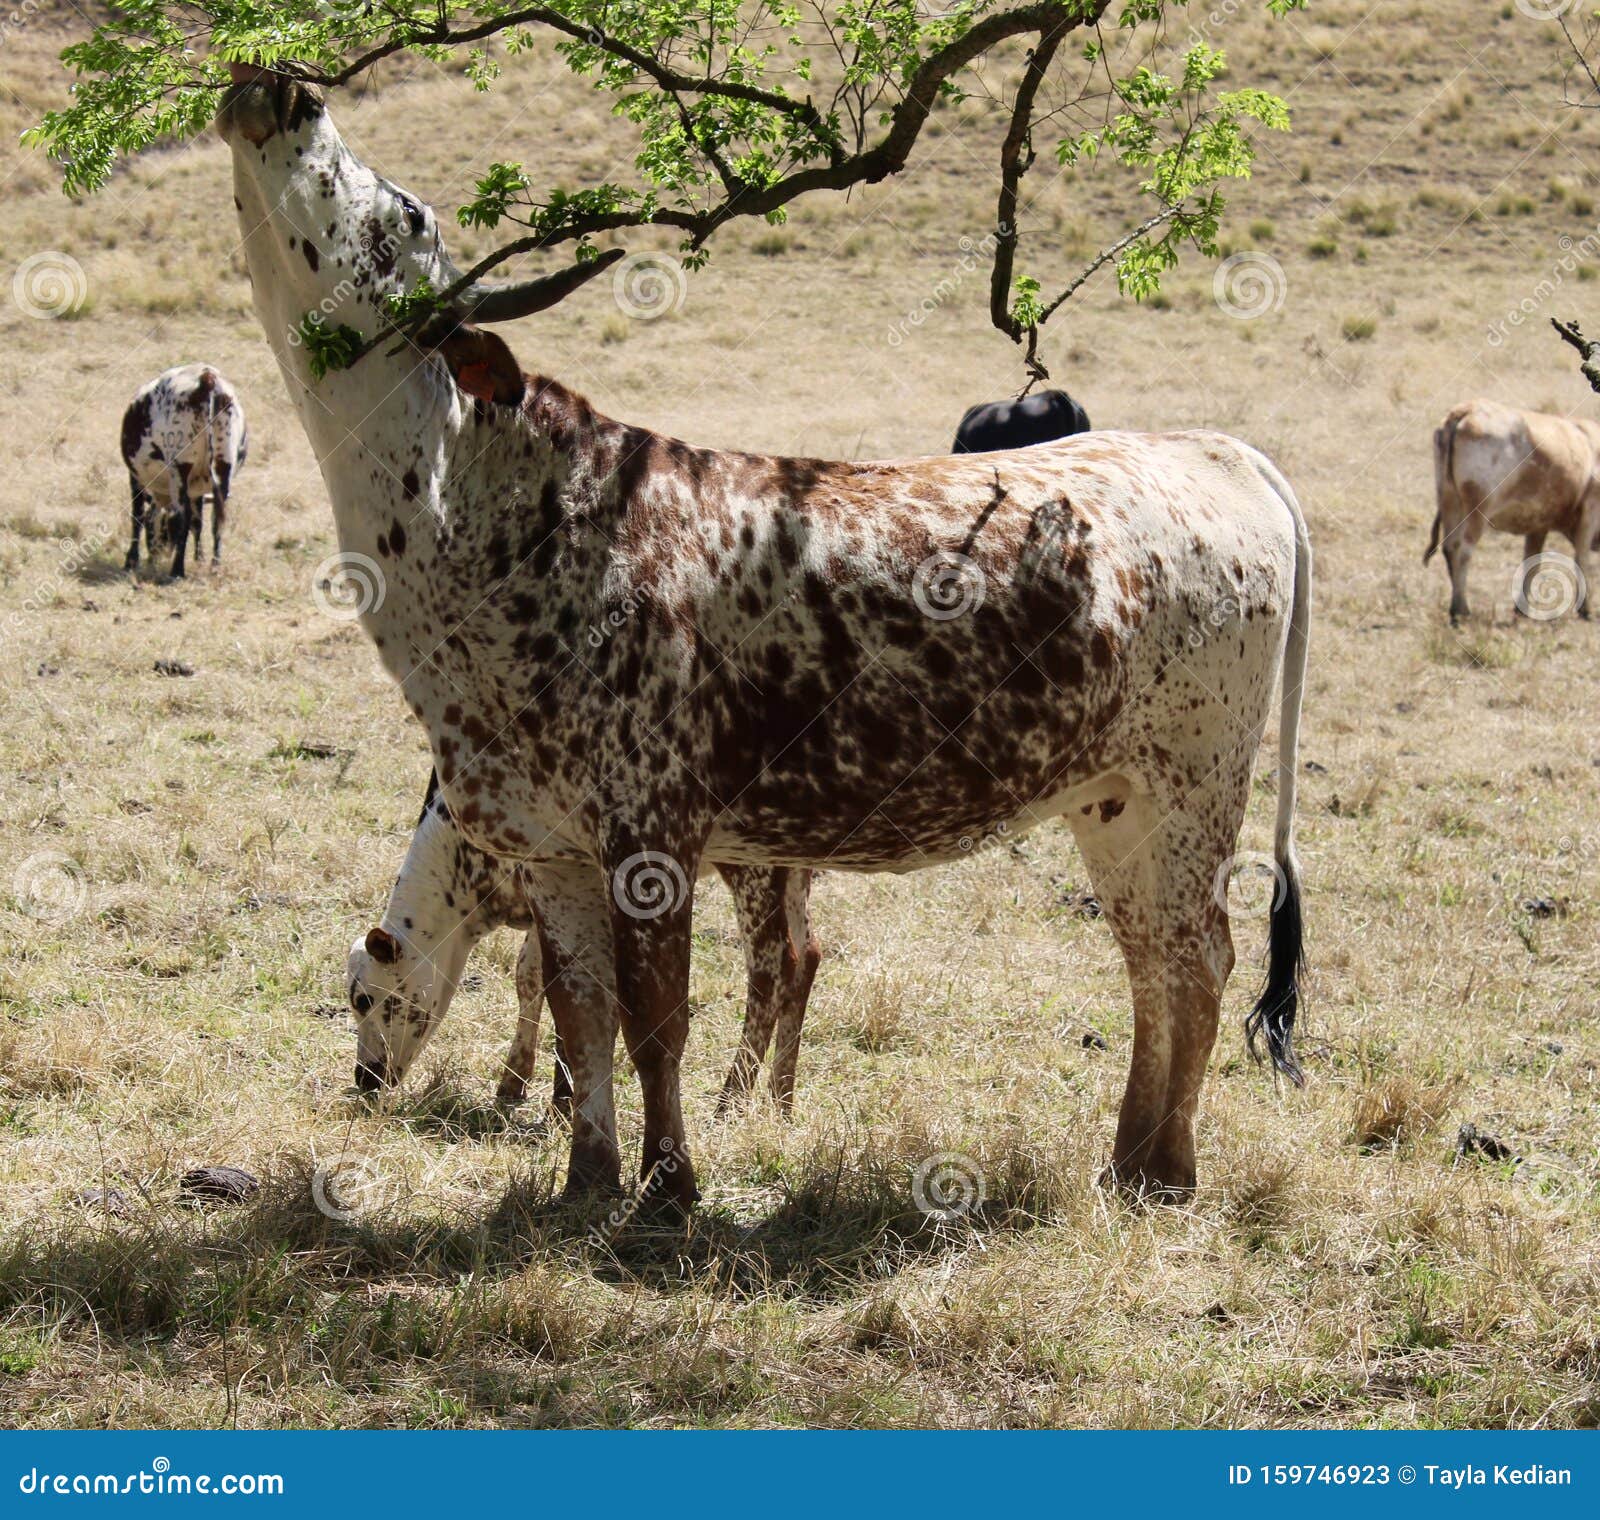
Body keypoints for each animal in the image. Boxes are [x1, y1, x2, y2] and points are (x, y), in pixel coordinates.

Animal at [121, 364, 248, 577]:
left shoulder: (136, 478)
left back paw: (177, 569)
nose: (156, 555)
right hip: (224, 466)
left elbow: (137, 516)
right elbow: (198, 523)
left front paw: (131, 560)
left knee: (183, 515)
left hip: (180, 467)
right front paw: (199, 557)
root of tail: (207, 378)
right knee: (217, 518)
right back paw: (215, 565)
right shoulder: (196, 490)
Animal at [348, 772, 821, 1113]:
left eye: (364, 999)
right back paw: (781, 1099)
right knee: (807, 957)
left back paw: (732, 1099)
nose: (365, 1077)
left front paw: (562, 1098)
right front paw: (515, 1081)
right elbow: (529, 978)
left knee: (772, 965)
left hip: (755, 866)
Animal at [1427, 399, 1600, 621]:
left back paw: (1455, 607)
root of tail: (1468, 409)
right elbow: (1582, 558)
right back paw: (1461, 609)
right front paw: (1586, 609)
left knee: (1450, 547)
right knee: (1464, 551)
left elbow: (1532, 561)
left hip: (1449, 500)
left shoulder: (1539, 523)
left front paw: (1522, 608)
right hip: (1477, 510)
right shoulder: (1590, 511)